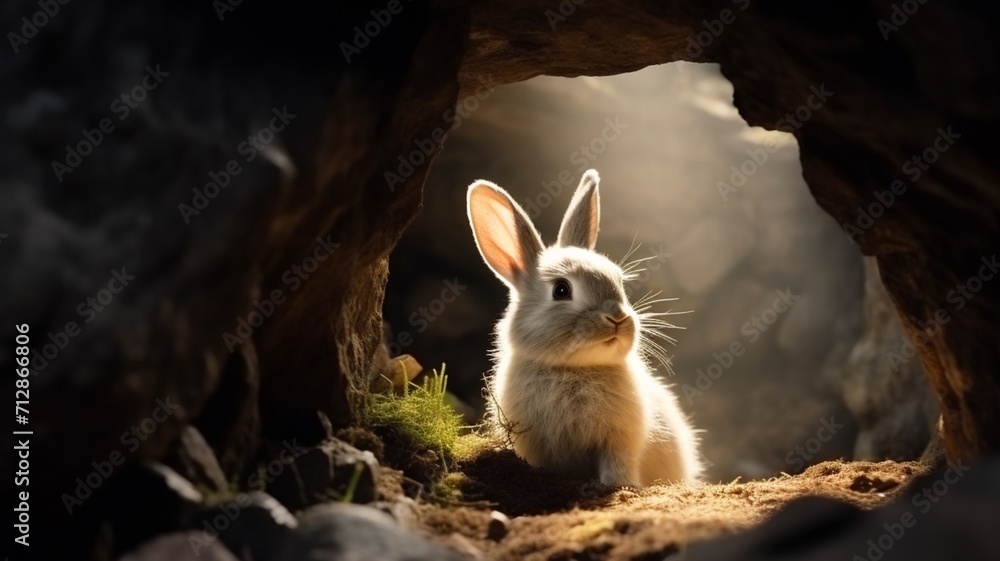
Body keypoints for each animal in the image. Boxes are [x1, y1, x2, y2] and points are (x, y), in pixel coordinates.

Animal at [466, 169, 703, 486]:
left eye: (619, 282)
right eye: (561, 290)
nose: (617, 317)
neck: (574, 369)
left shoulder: (620, 441)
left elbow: (617, 465)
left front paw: (617, 485)